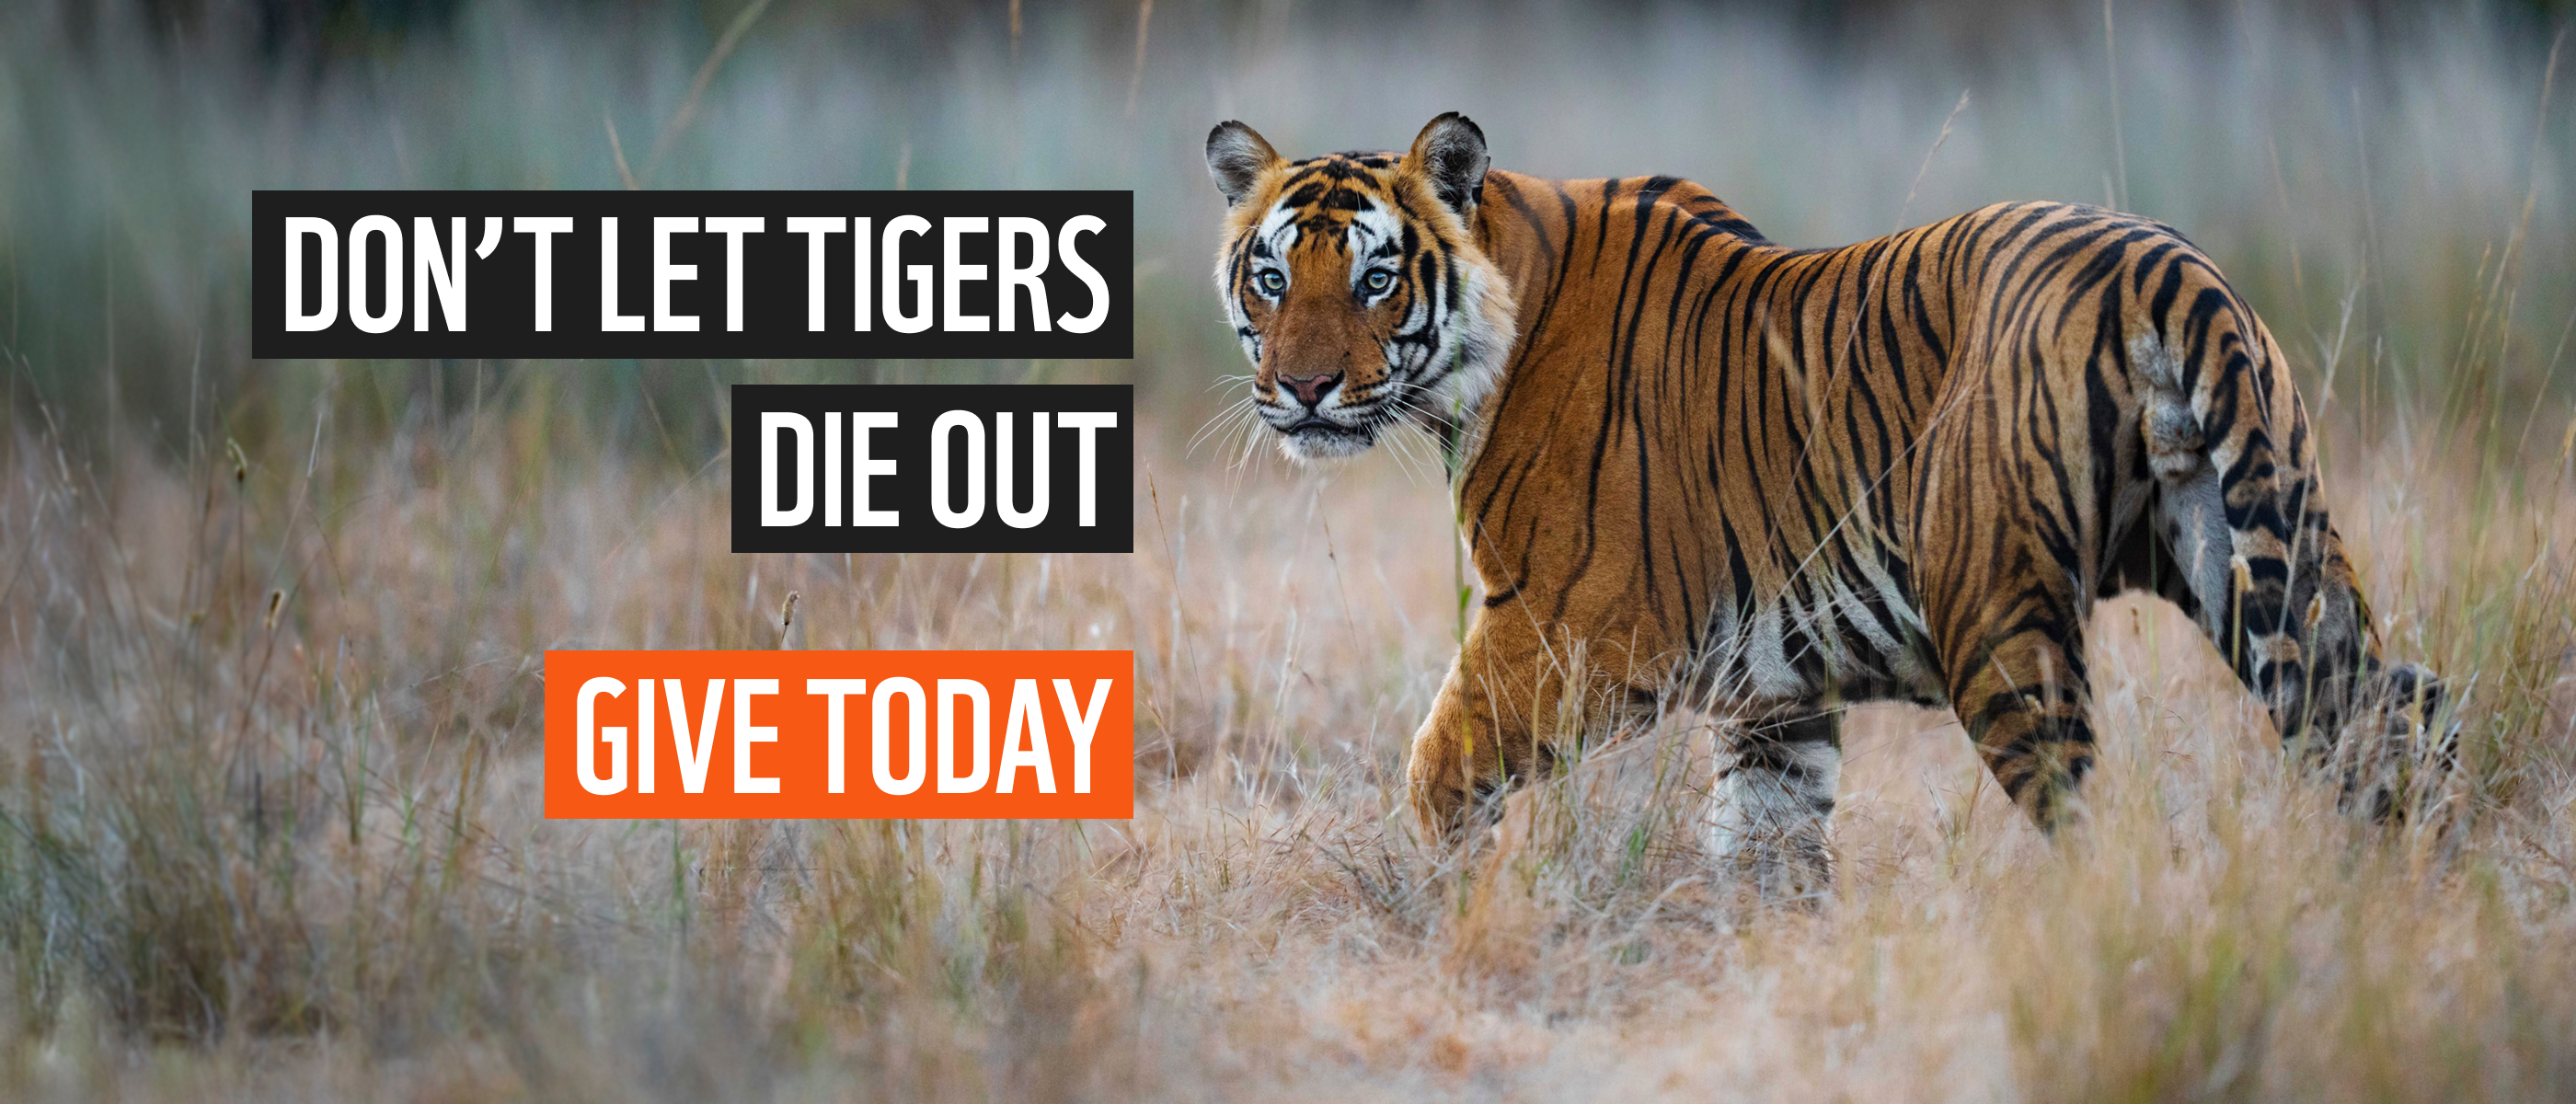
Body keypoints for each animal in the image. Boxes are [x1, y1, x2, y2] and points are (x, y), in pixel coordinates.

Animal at [1203, 112, 2451, 892]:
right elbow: (1767, 858)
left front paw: (1448, 909)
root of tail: (2158, 264)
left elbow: (1438, 770)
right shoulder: (1772, 697)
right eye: (1271, 277)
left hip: (1999, 625)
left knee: (2096, 815)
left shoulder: (1568, 631)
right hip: (2262, 554)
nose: (1301, 390)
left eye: (1375, 277)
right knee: (2402, 712)